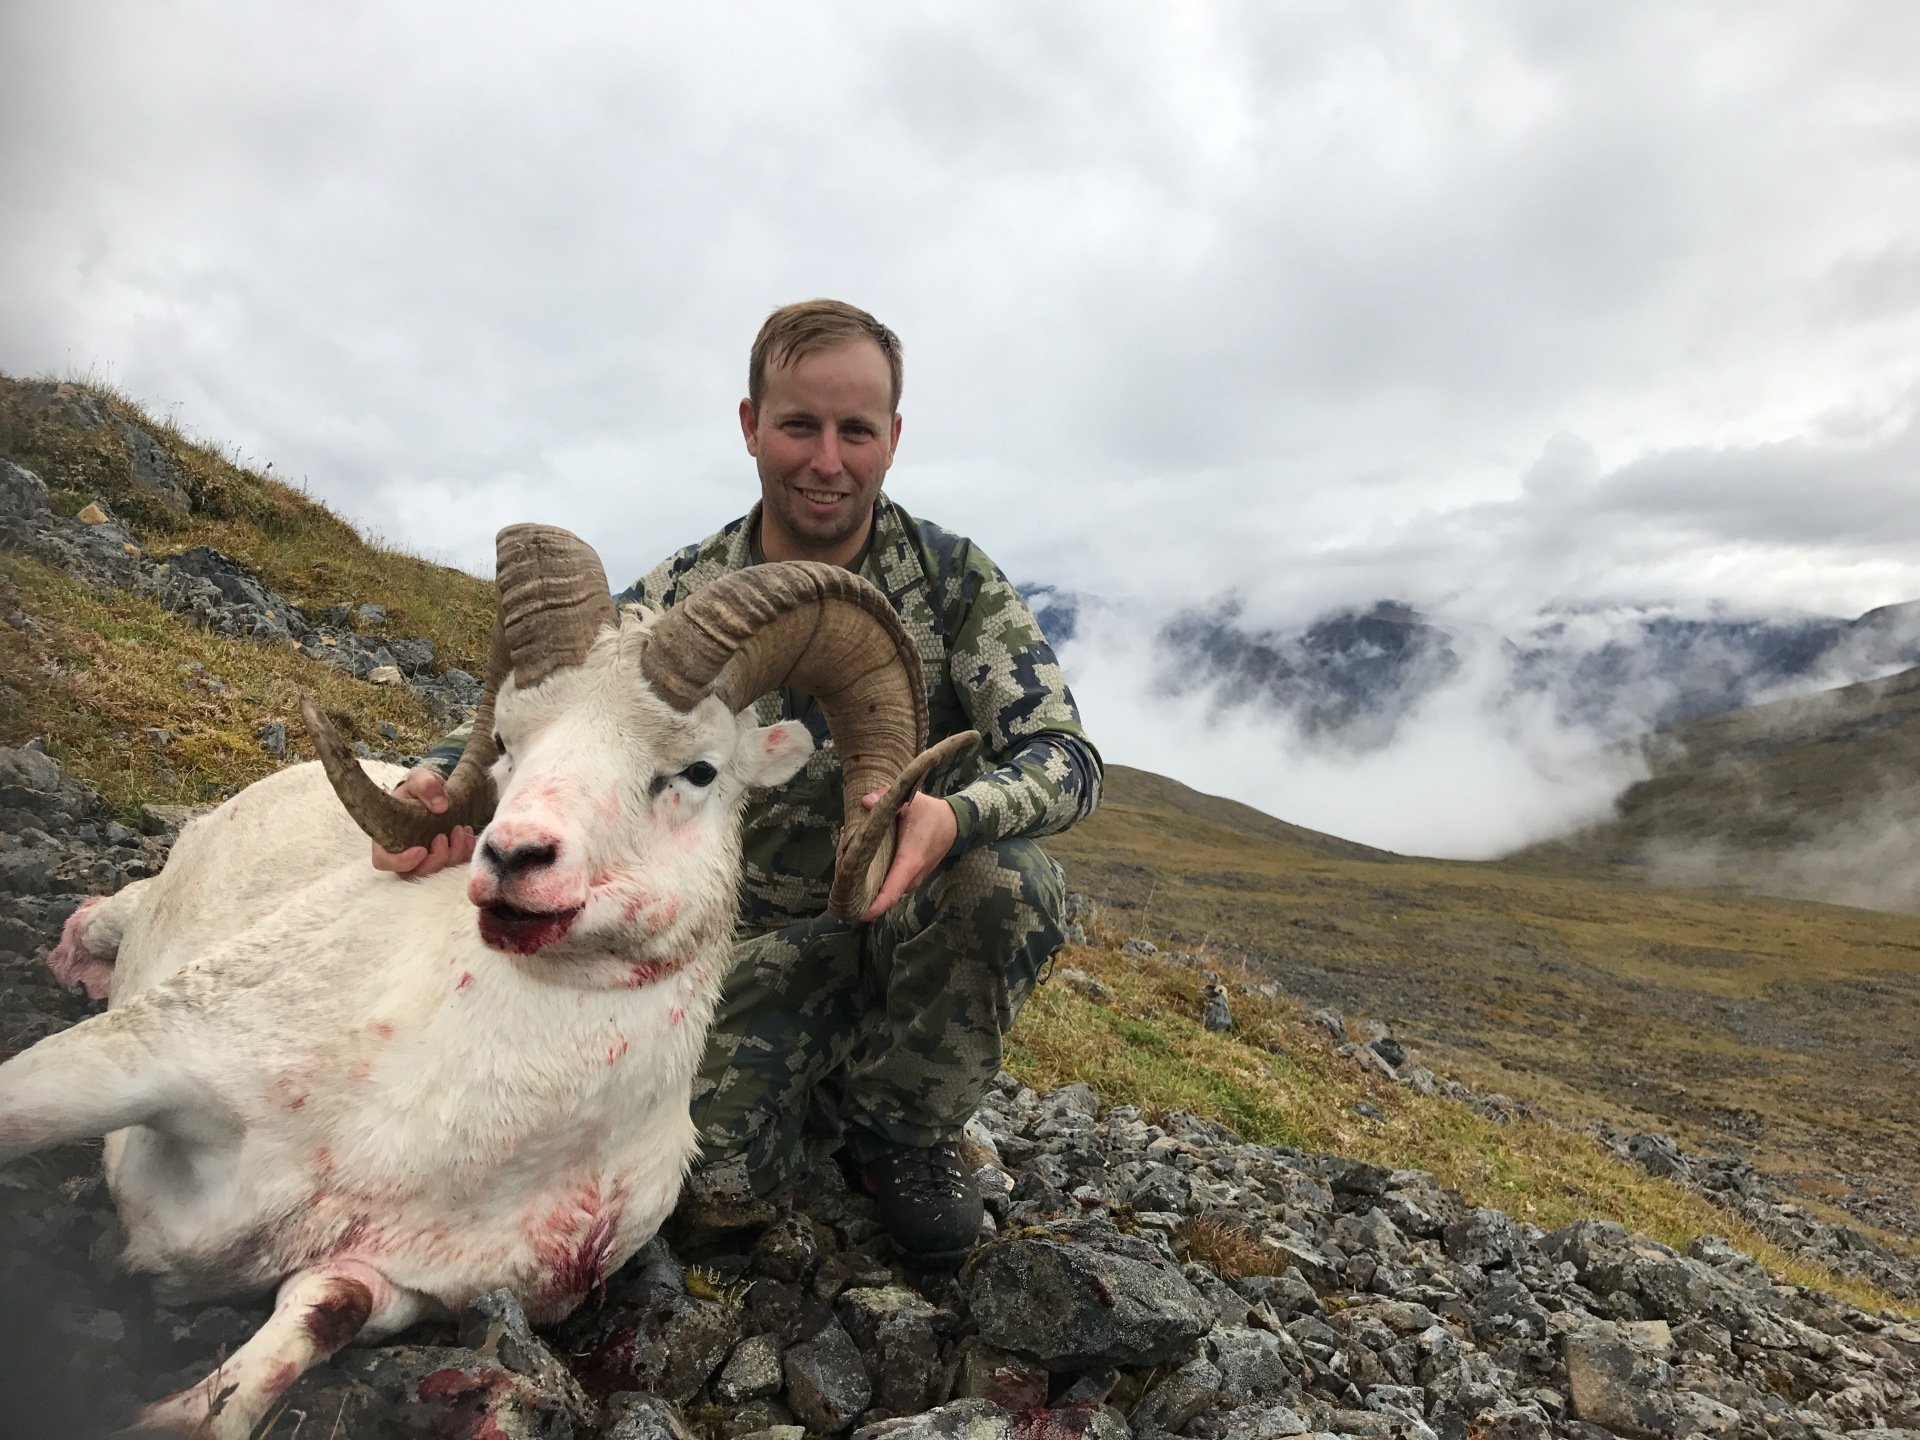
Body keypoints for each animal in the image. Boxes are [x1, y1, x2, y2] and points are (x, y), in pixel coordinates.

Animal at [0, 523, 974, 1438]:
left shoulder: (406, 1282)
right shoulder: (140, 1056)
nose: (512, 857)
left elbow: (316, 1318)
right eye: (508, 742)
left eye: (696, 770)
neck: (440, 1112)